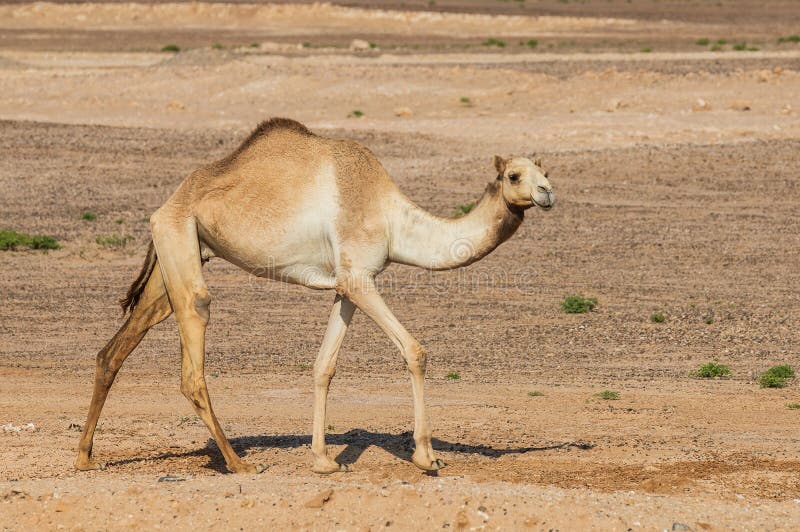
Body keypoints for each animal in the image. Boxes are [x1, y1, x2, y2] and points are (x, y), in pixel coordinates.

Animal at [75, 117, 554, 475]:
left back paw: (84, 457)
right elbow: (414, 351)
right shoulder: (360, 278)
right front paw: (426, 457)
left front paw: (323, 459)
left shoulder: (347, 285)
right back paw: (238, 463)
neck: (391, 218)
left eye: (547, 173)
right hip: (180, 243)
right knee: (194, 338)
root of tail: (166, 205)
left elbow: (325, 366)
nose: (547, 194)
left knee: (117, 347)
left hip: (178, 253)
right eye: (515, 175)